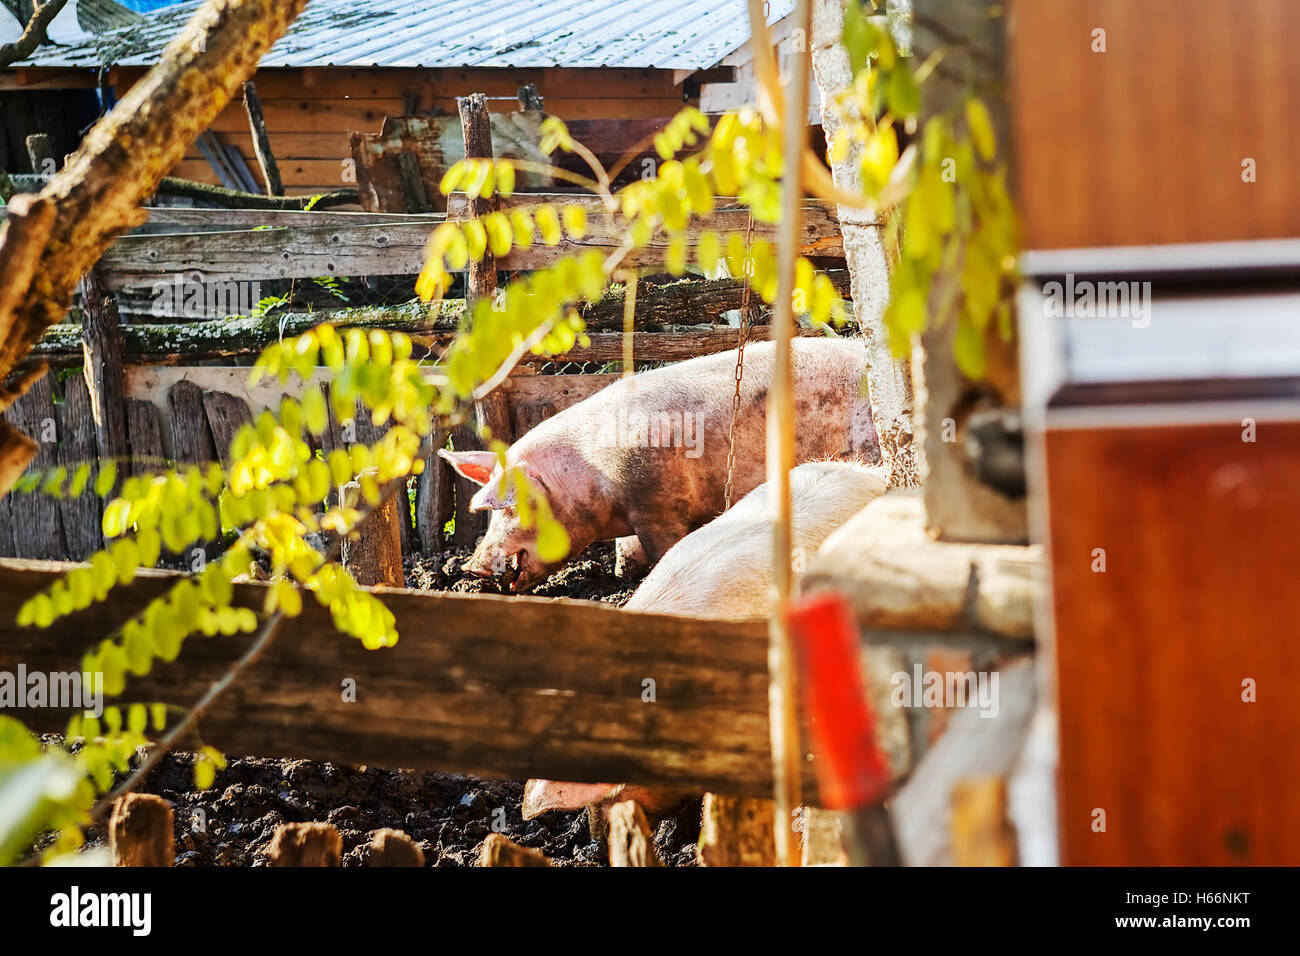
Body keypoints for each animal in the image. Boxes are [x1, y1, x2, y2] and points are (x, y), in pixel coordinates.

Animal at [440, 338, 880, 591]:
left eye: (515, 506)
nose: (473, 569)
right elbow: (628, 550)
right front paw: (622, 575)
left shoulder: (657, 501)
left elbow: (662, 547)